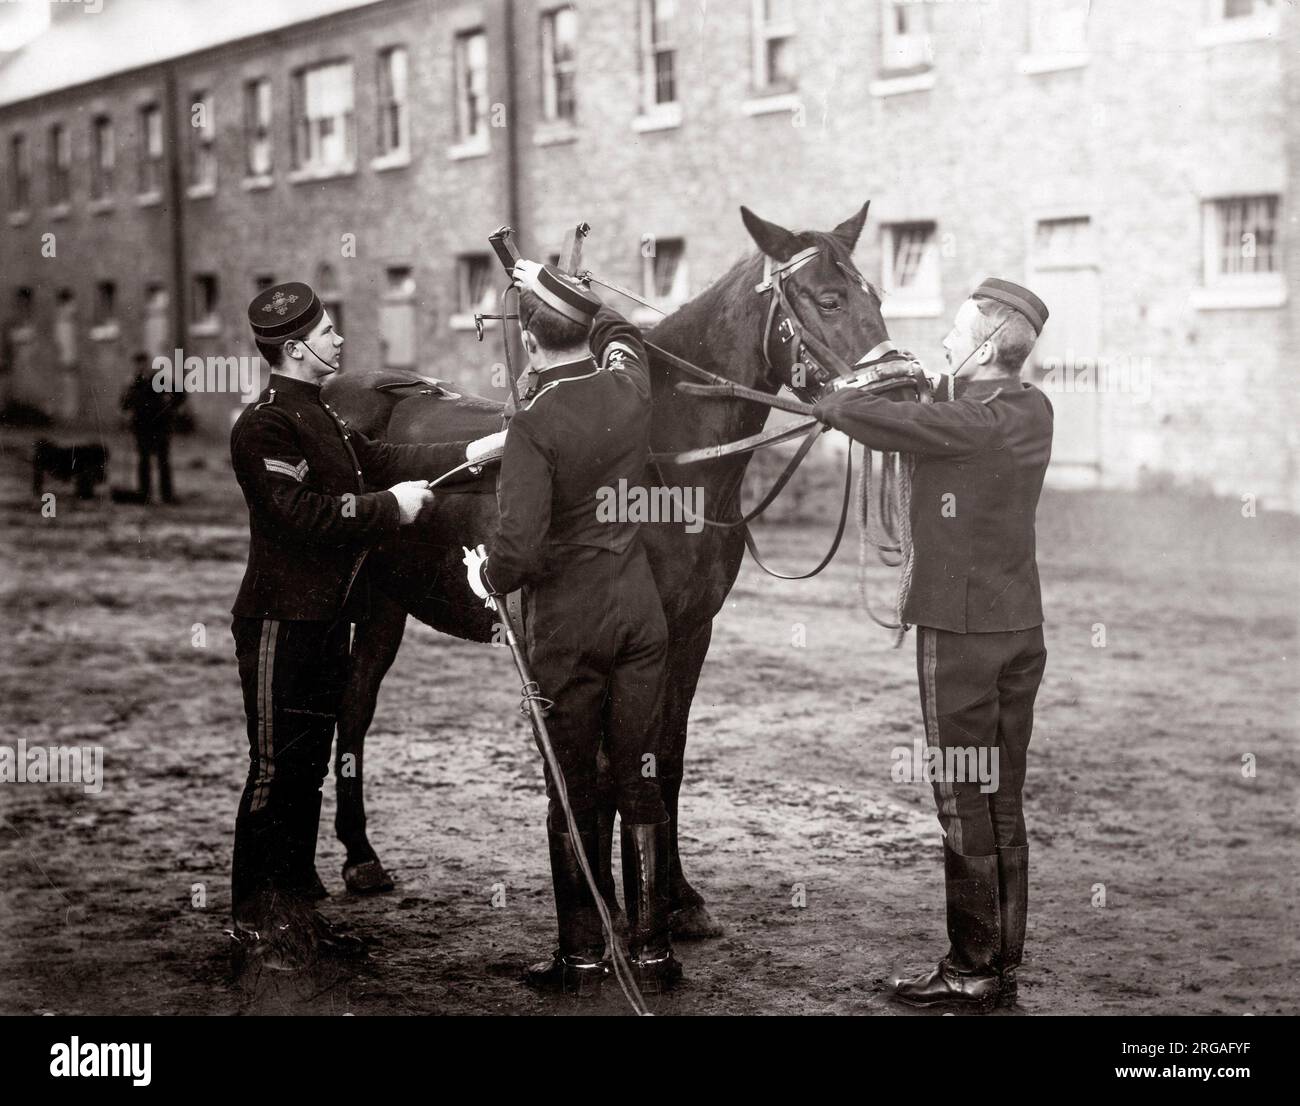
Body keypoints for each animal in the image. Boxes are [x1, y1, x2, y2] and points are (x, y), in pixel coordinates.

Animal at [322, 202, 896, 939]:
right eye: (828, 298)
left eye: (875, 295)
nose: (904, 385)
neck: (666, 457)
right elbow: (598, 769)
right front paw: (618, 909)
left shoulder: (690, 632)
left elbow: (665, 759)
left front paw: (676, 897)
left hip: (385, 604)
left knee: (354, 708)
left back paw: (361, 855)